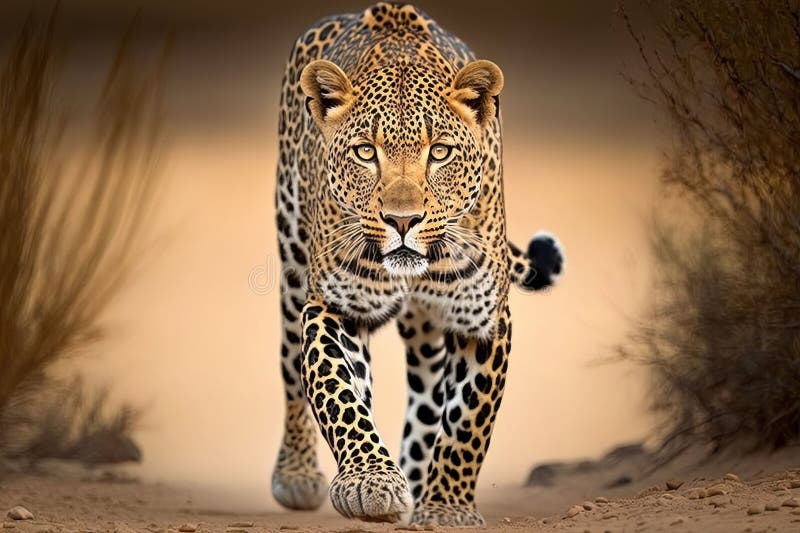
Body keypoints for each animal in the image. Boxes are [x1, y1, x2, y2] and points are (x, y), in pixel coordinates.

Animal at [270, 2, 564, 526]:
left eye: (440, 152)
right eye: (366, 152)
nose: (402, 220)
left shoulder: (483, 319)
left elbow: (468, 420)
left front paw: (447, 507)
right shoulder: (334, 306)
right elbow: (336, 390)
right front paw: (370, 481)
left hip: (428, 326)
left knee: (428, 394)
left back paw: (418, 477)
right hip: (291, 260)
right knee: (291, 370)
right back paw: (299, 475)